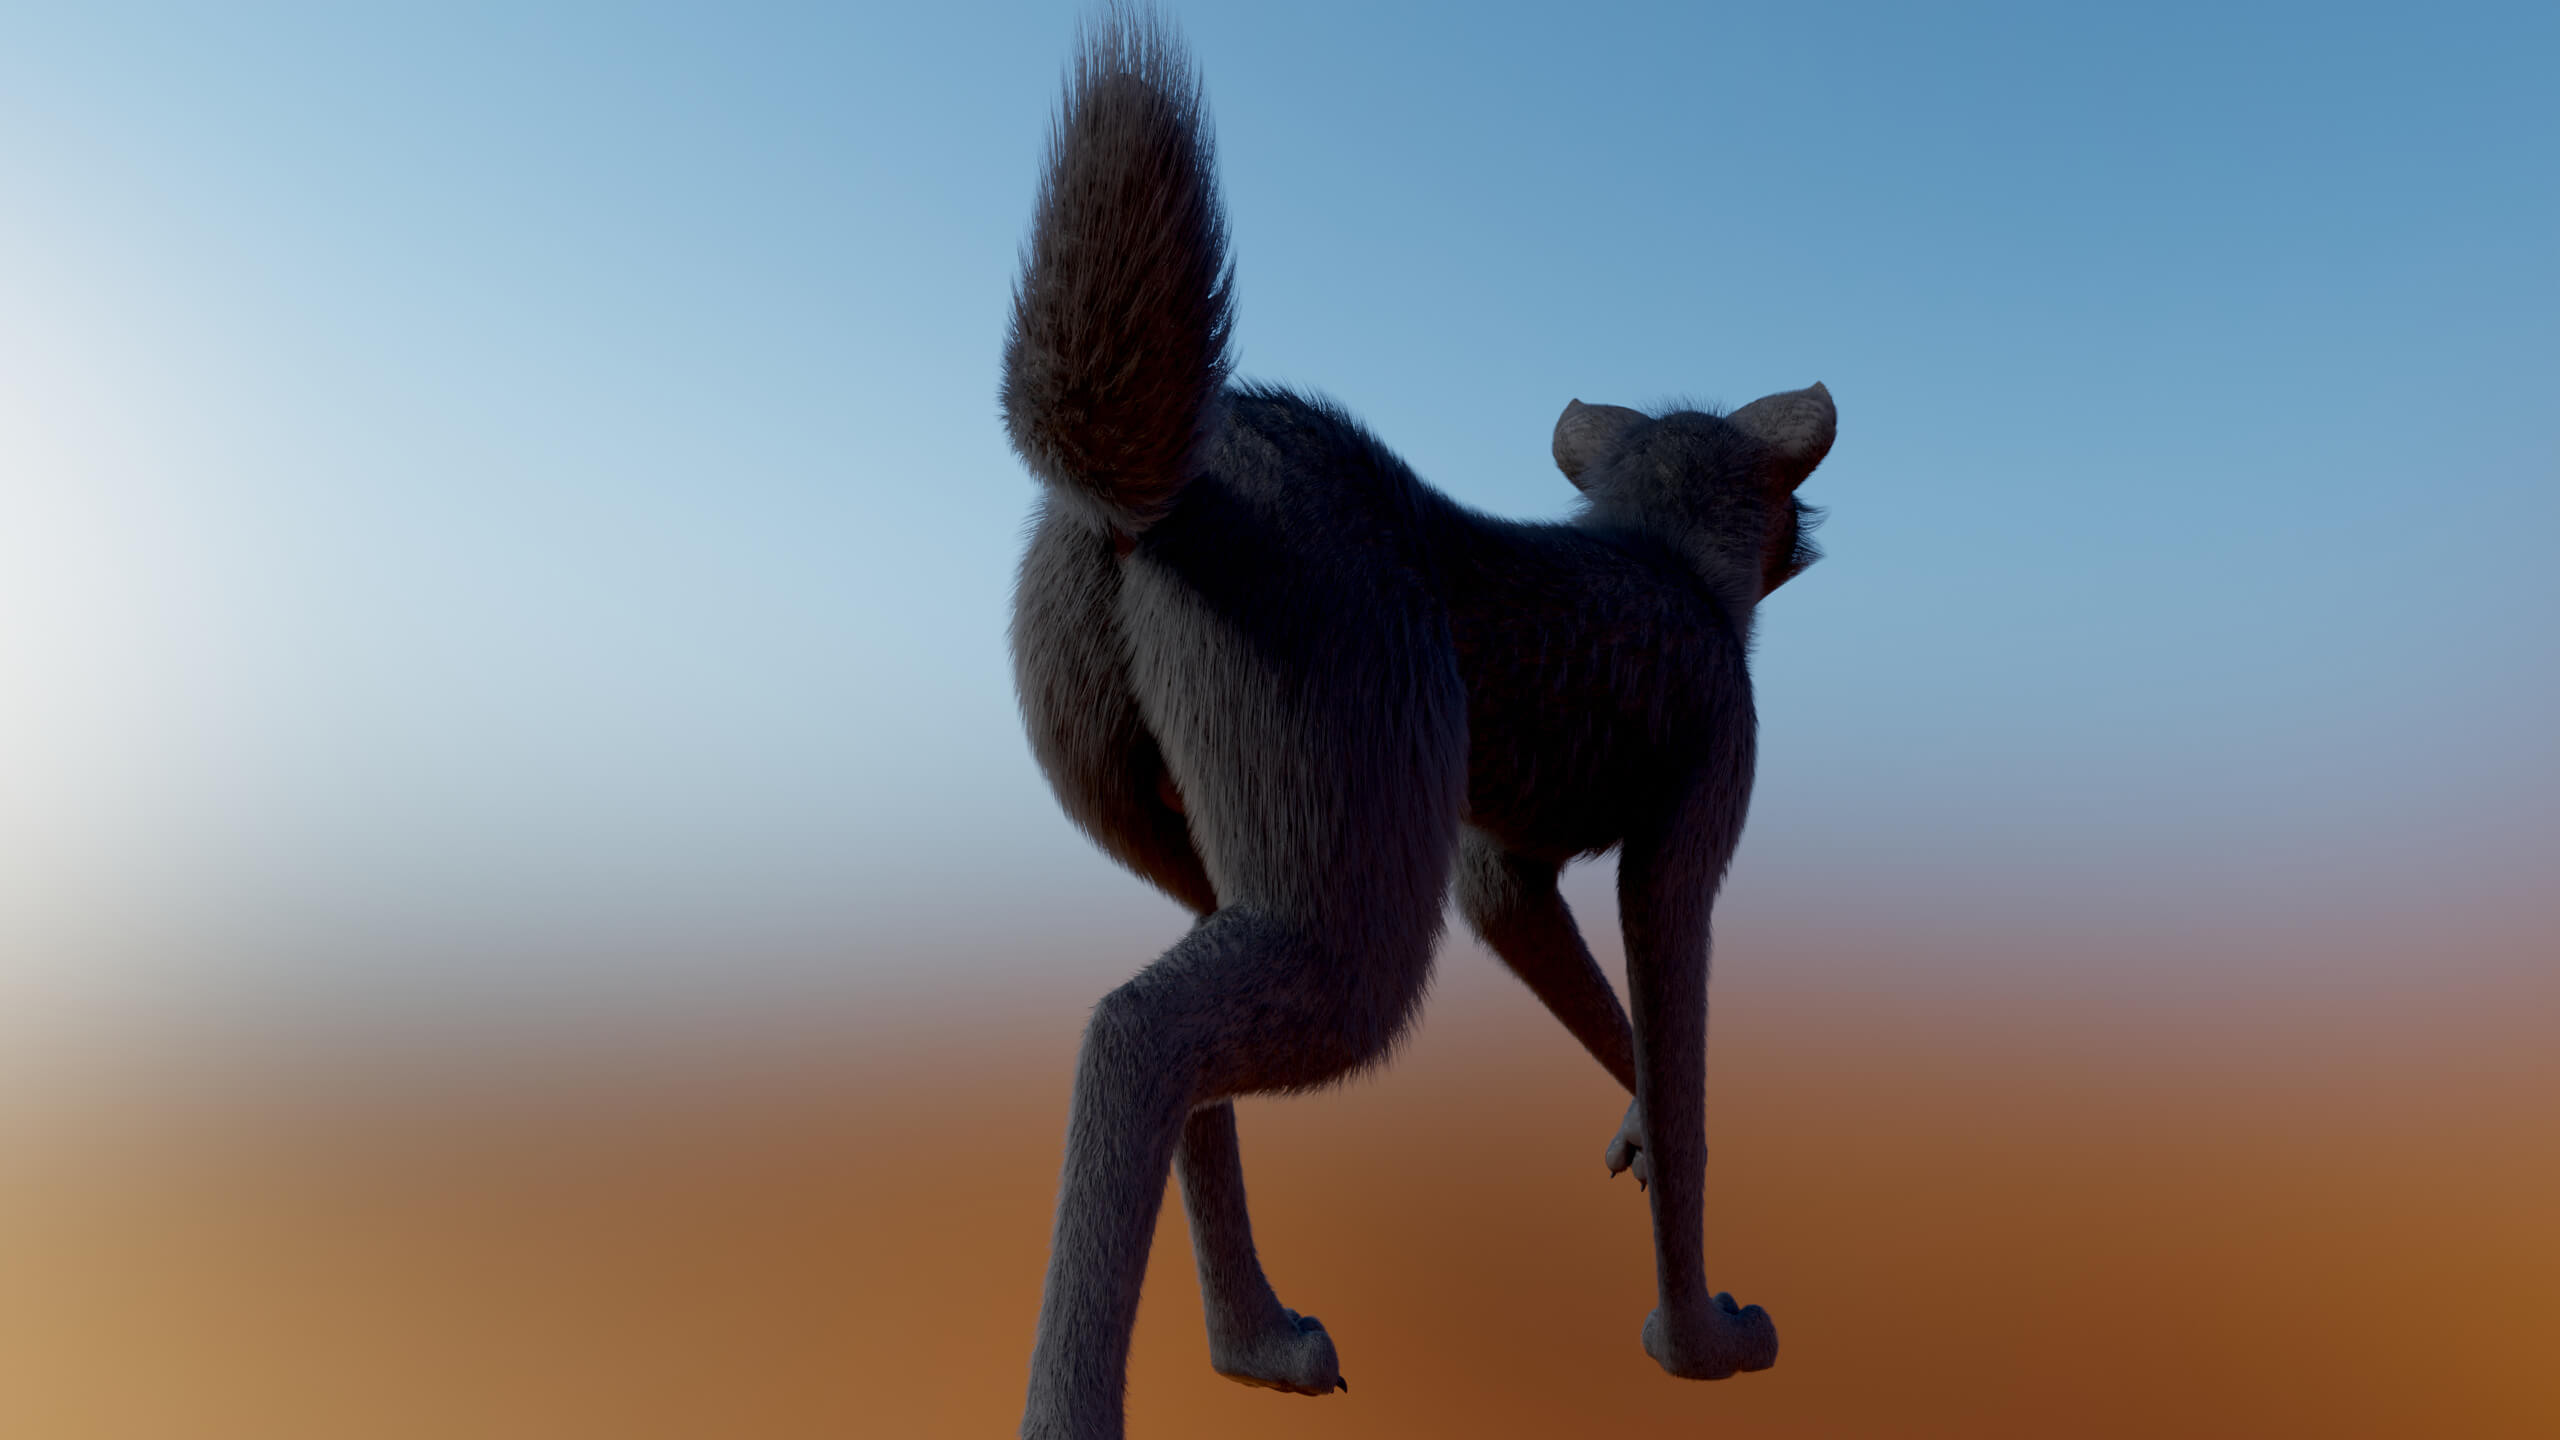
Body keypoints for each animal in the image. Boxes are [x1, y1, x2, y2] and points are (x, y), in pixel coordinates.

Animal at [999, 9, 1834, 1437]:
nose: (1816, 535)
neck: (1661, 551)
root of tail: (1159, 489)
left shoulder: (1505, 869)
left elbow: (1615, 1021)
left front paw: (1630, 1129)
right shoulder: (1683, 835)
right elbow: (1680, 1050)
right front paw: (1697, 1339)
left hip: (1223, 845)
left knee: (1183, 1043)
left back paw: (1257, 1343)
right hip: (1355, 882)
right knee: (1136, 1034)